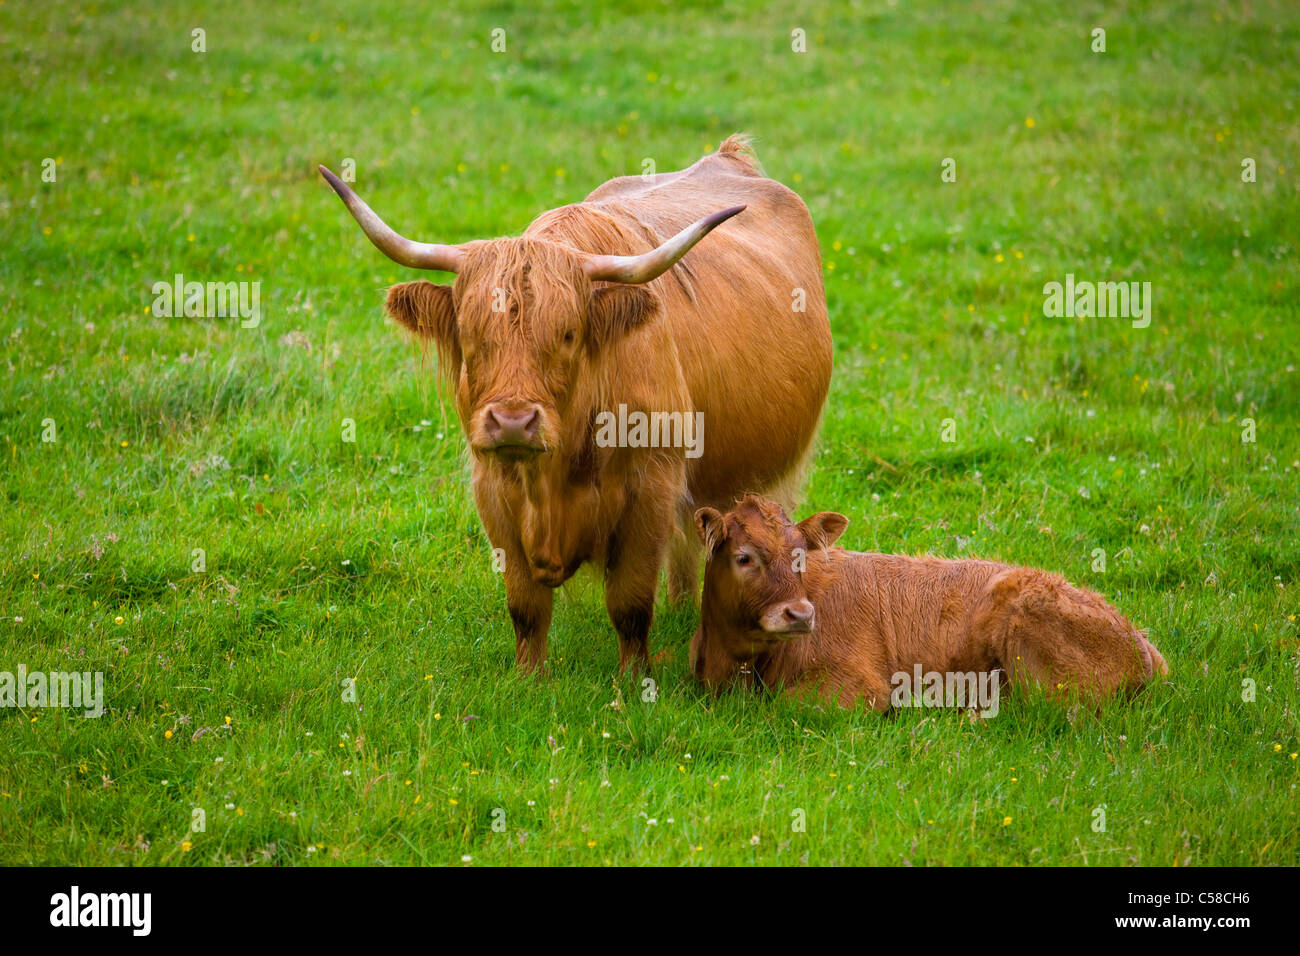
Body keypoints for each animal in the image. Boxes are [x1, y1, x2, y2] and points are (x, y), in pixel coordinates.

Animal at [320, 136, 832, 674]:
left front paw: (634, 679)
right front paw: (529, 678)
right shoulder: (493, 493)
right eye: (469, 333)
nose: (513, 422)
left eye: (568, 334)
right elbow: (525, 606)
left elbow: (630, 604)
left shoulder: (650, 488)